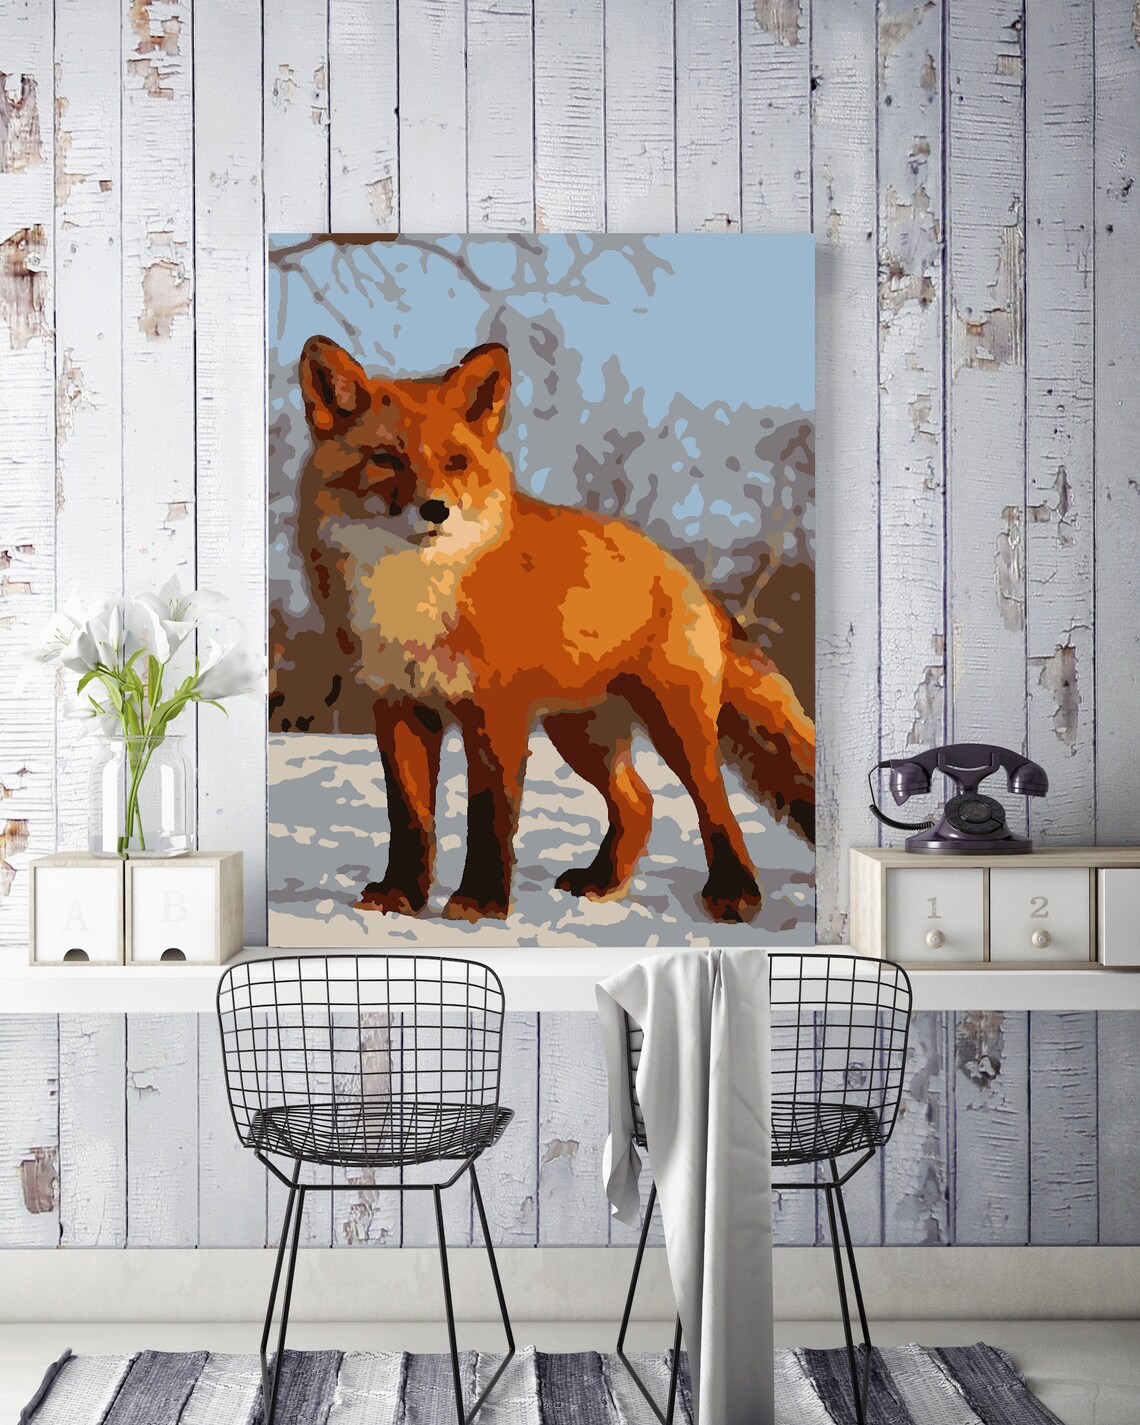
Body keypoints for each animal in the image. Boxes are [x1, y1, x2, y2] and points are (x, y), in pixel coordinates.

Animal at [279, 334, 815, 925]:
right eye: (385, 459)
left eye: (455, 462)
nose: (436, 509)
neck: (414, 593)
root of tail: (682, 569)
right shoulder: (399, 707)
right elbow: (410, 818)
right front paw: (400, 900)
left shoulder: (495, 711)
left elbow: (489, 815)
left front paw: (480, 904)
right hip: (581, 735)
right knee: (640, 803)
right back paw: (604, 882)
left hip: (675, 726)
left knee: (713, 803)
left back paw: (734, 892)